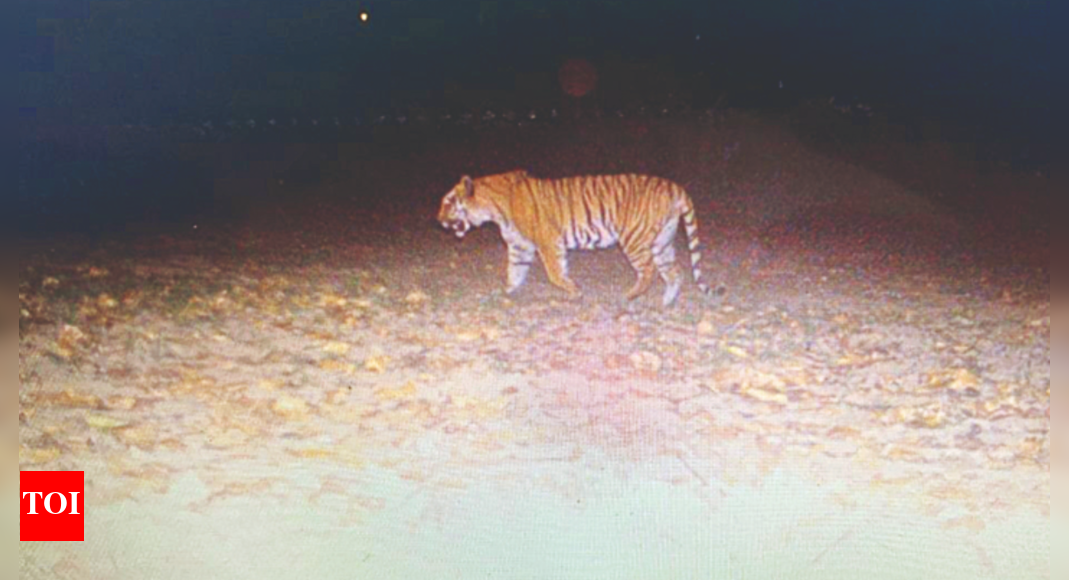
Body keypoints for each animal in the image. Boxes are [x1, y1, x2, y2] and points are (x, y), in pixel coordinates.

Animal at [437, 169, 722, 306]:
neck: (494, 209)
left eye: (448, 202)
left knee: (650, 271)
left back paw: (629, 297)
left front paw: (575, 291)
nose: (437, 219)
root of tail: (675, 187)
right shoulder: (520, 247)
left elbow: (555, 273)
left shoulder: (547, 241)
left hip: (635, 239)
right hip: (662, 241)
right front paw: (505, 292)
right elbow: (514, 272)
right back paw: (666, 302)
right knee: (674, 272)